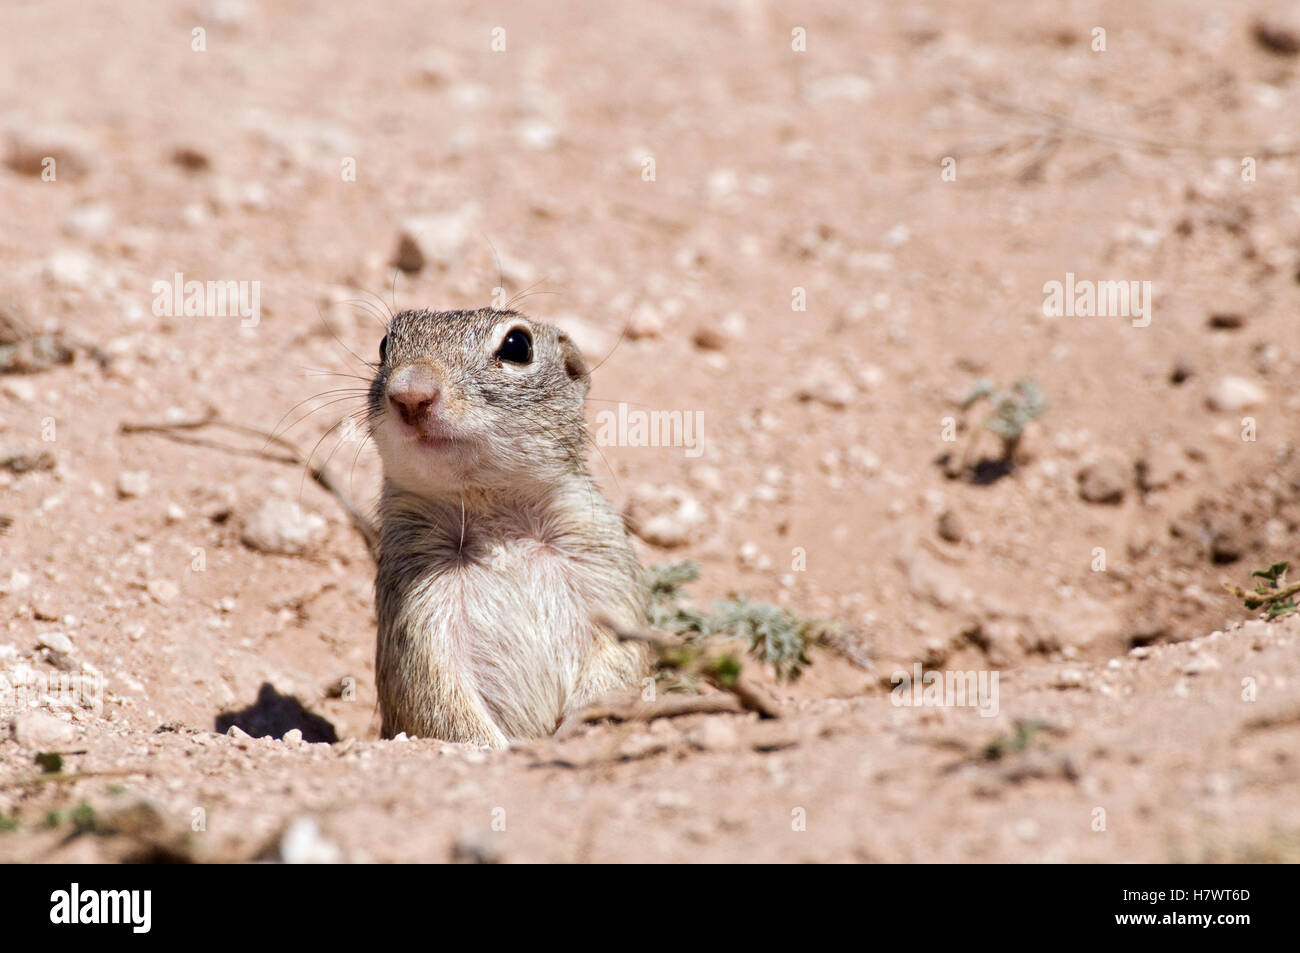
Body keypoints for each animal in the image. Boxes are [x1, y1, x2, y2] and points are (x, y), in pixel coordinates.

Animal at [367, 308, 647, 747]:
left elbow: (623, 655)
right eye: (383, 346)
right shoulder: (413, 607)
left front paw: (582, 725)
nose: (410, 392)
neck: (497, 519)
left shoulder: (602, 561)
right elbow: (434, 697)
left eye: (518, 346)